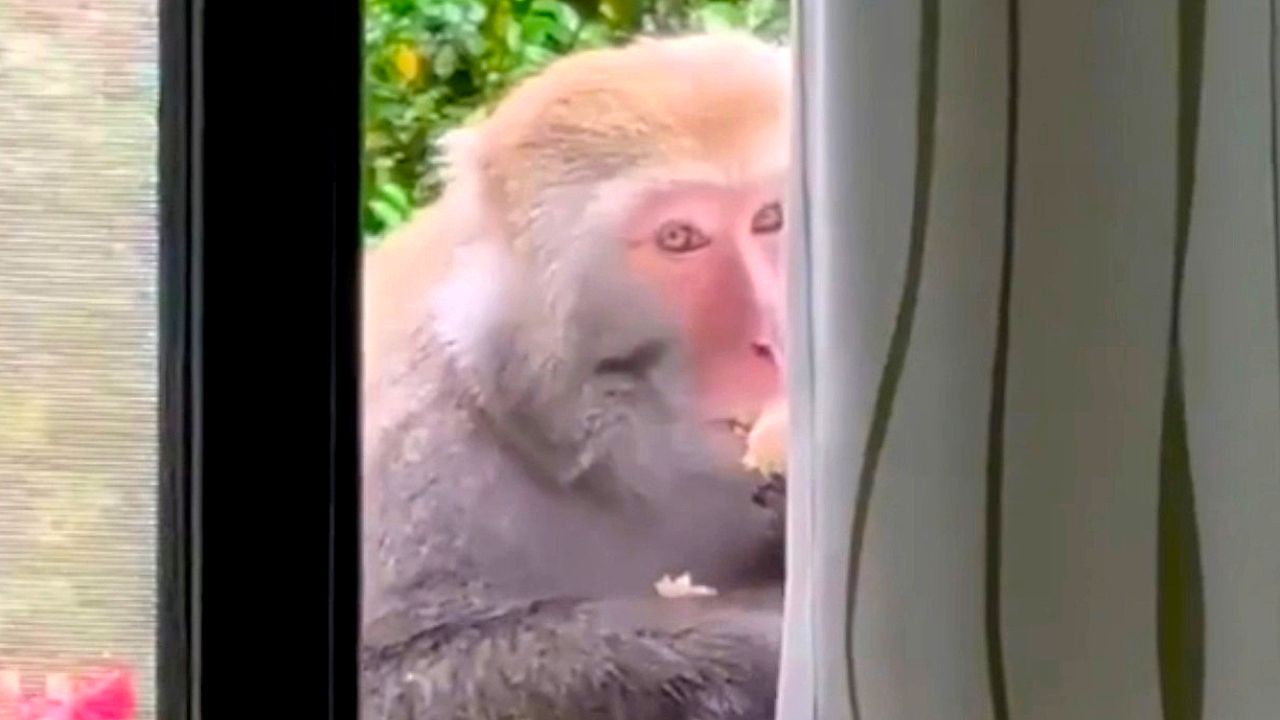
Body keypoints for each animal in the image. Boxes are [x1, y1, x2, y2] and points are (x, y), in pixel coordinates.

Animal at [360, 32, 792, 720]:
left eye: (771, 218)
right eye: (679, 237)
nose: (771, 339)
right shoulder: (409, 451)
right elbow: (386, 675)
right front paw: (762, 640)